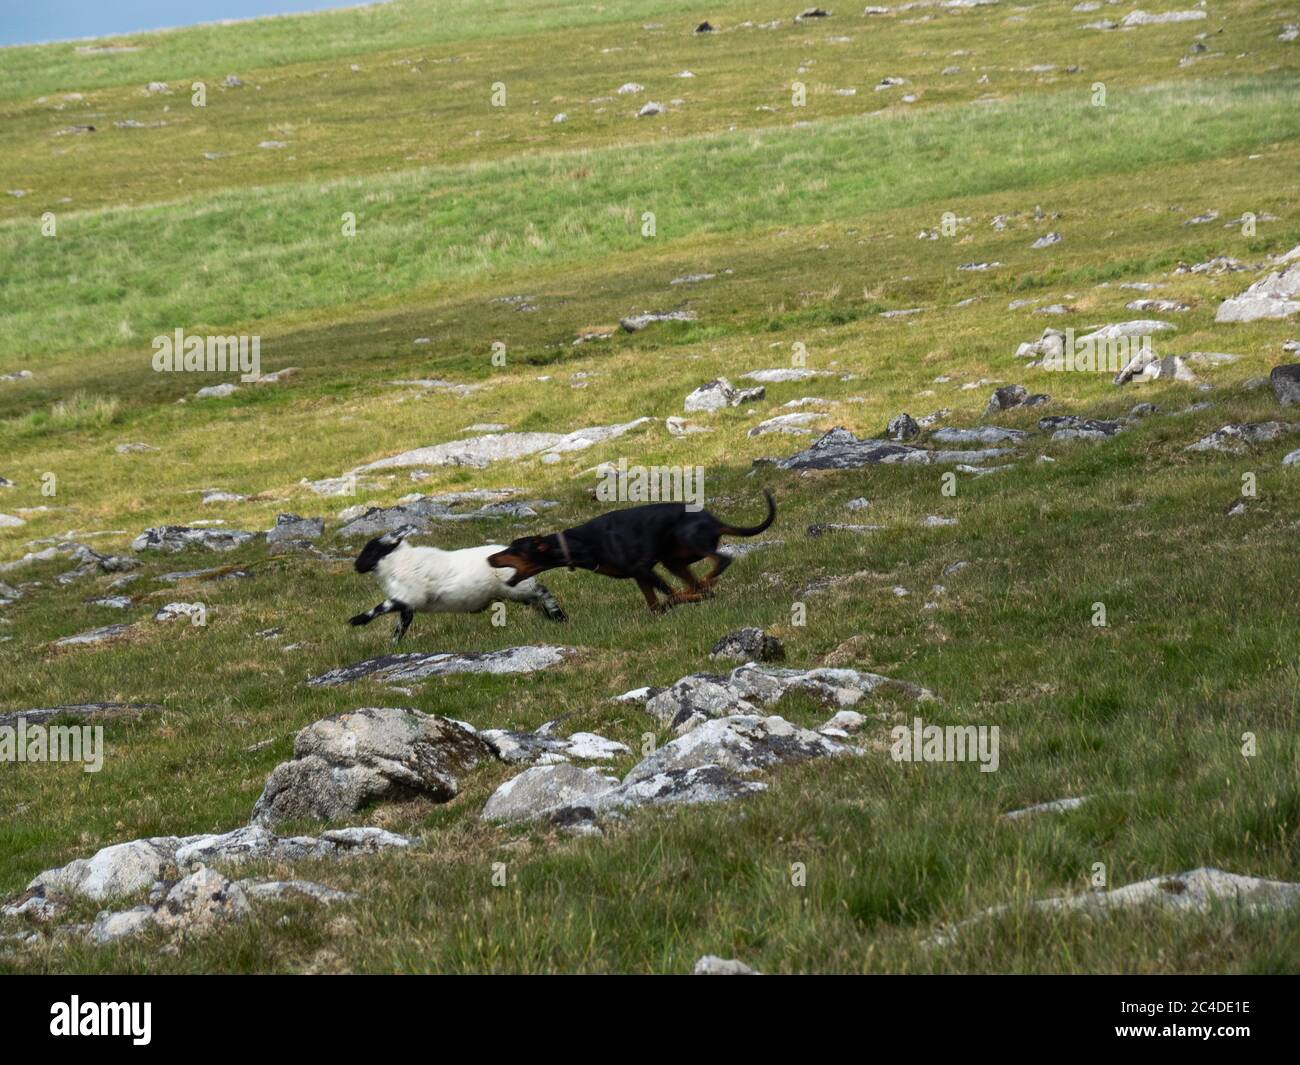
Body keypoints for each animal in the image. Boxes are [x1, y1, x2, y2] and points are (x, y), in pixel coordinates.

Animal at [348, 526, 566, 642]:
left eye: (372, 550)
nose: (356, 566)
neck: (397, 563)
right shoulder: (408, 605)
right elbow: (400, 626)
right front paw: (393, 645)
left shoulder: (410, 596)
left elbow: (380, 608)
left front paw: (356, 620)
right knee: (537, 599)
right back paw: (554, 619)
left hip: (518, 587)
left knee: (542, 592)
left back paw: (559, 616)